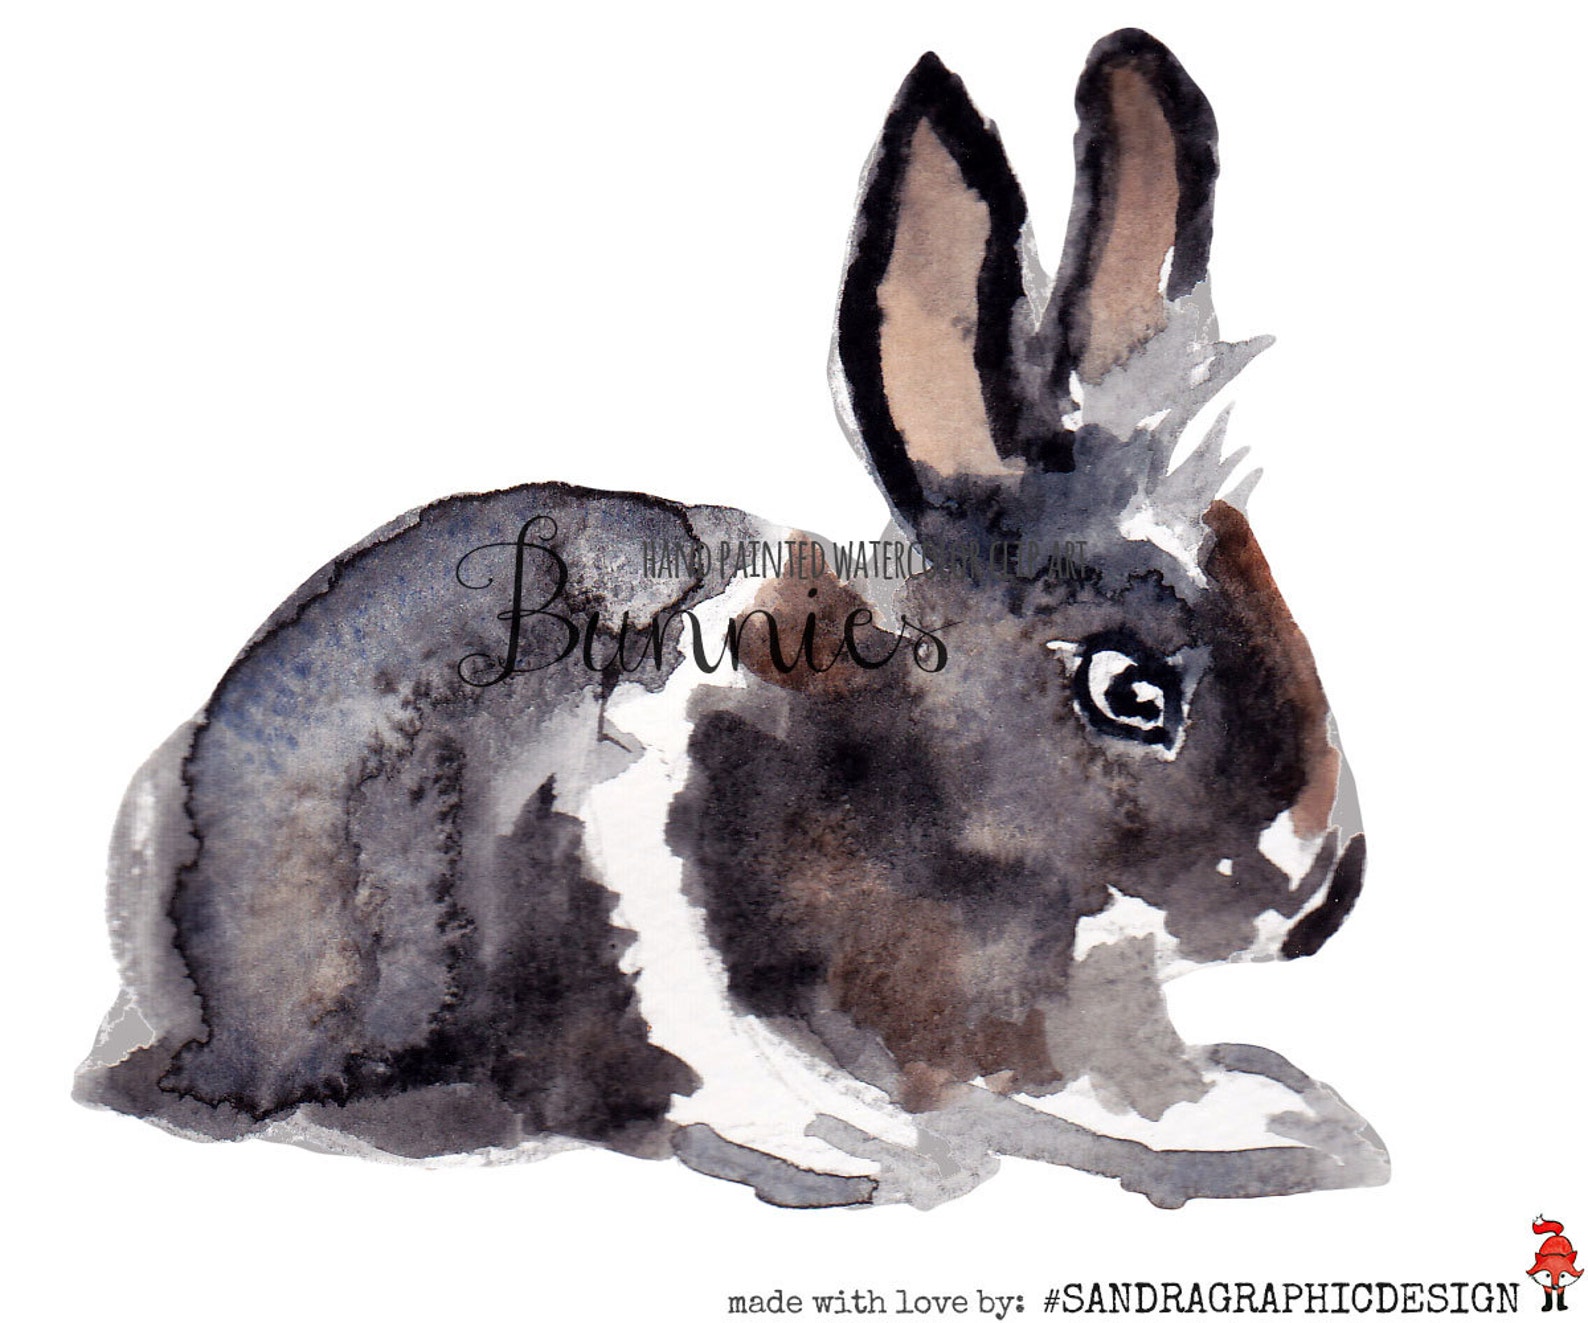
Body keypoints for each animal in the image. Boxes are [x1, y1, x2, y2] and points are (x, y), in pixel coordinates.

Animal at [76, 28, 1388, 1209]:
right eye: (1129, 692)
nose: (1324, 898)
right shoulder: (644, 871)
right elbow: (730, 1040)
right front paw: (846, 1147)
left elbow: (1103, 1074)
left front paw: (1244, 1110)